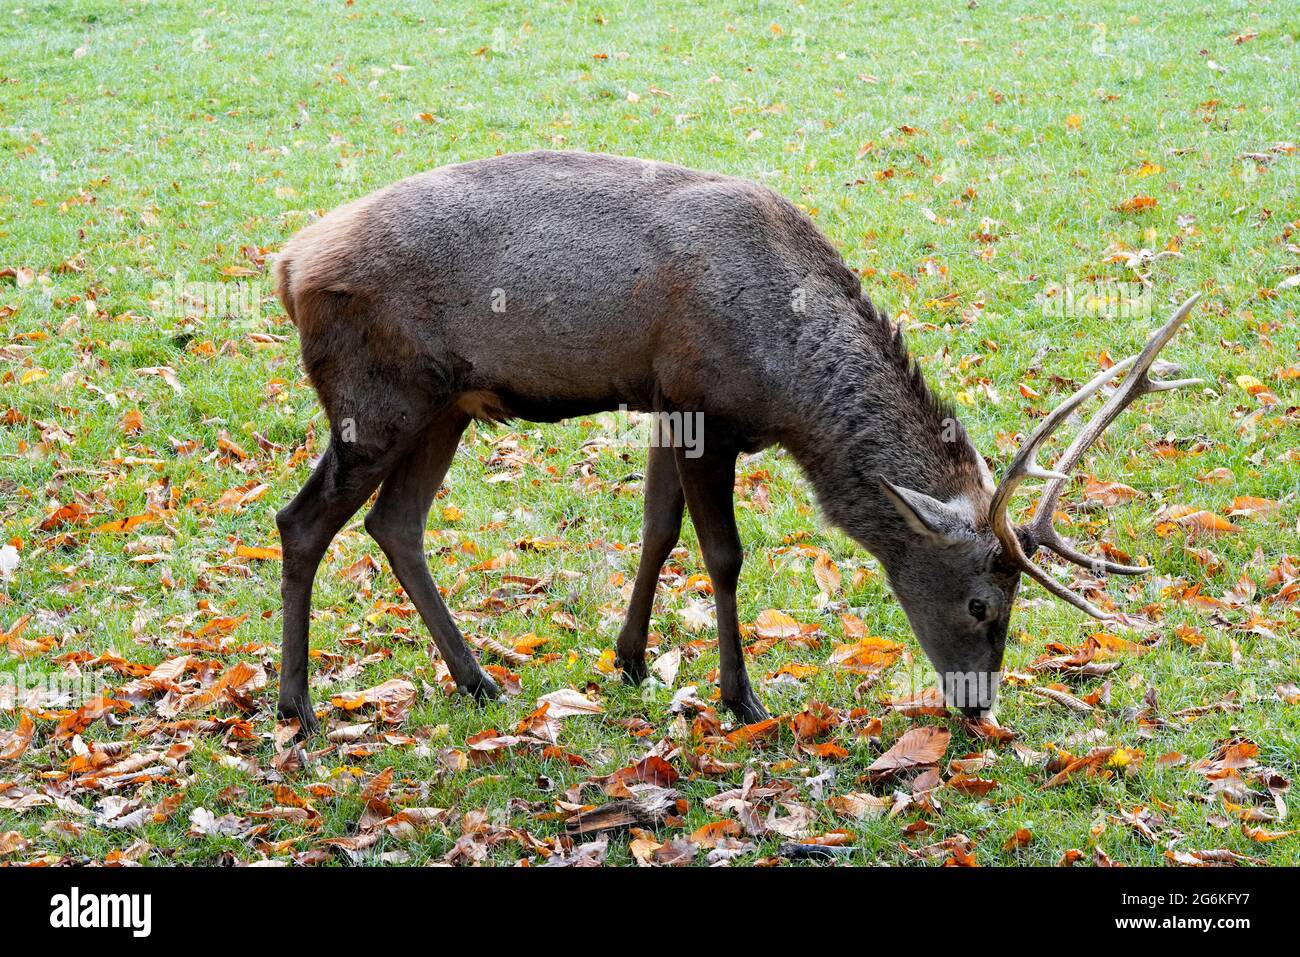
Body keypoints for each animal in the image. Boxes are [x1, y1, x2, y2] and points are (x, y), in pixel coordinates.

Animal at [272, 150, 1199, 736]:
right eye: (983, 605)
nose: (978, 706)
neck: (786, 385)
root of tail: (286, 266)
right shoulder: (701, 405)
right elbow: (720, 553)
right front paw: (740, 697)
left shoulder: (661, 401)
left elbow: (656, 531)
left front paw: (630, 660)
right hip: (377, 396)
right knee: (302, 521)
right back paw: (298, 708)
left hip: (446, 406)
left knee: (395, 524)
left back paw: (478, 680)